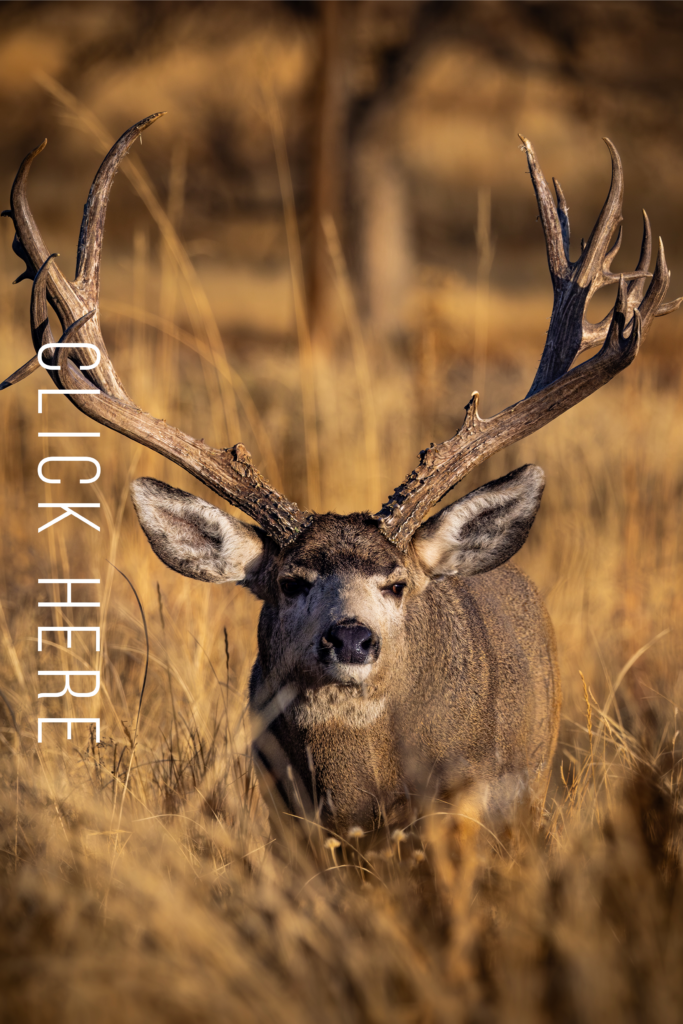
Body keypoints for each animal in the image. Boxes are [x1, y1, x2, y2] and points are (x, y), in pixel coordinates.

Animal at [3, 115, 680, 837]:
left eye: (397, 583)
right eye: (290, 581)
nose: (351, 638)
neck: (360, 792)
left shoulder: (461, 806)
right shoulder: (286, 814)